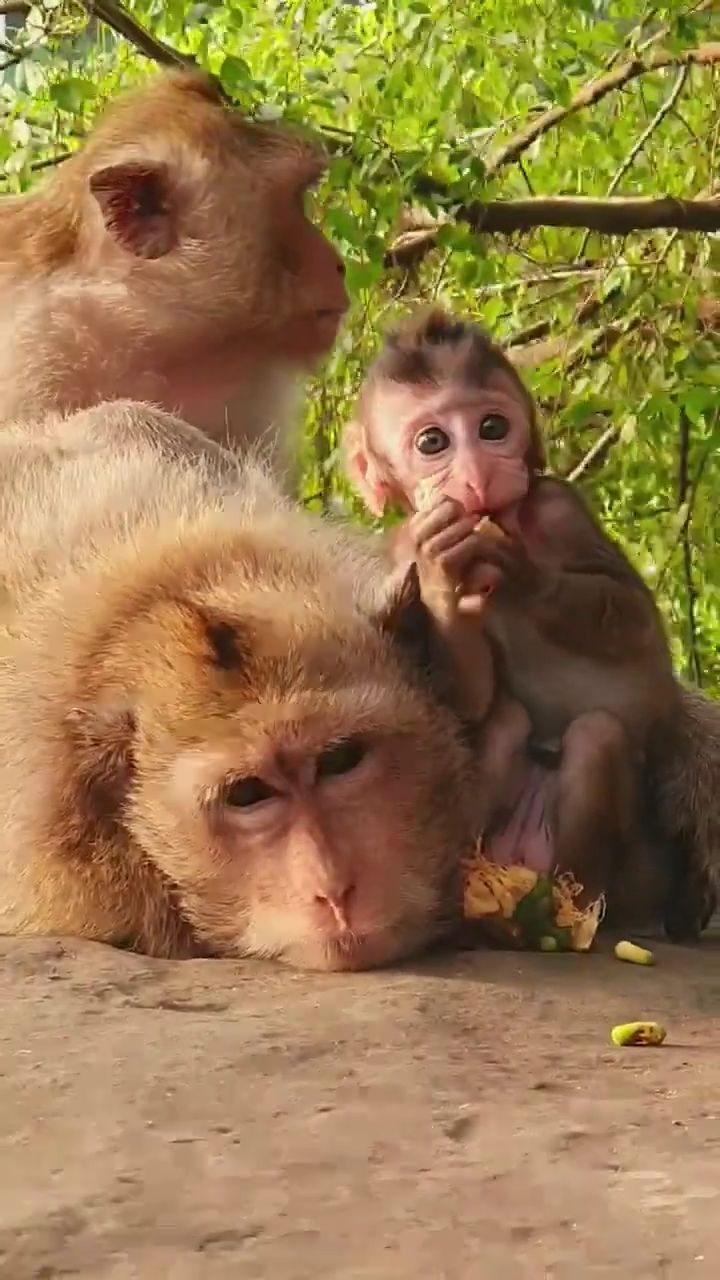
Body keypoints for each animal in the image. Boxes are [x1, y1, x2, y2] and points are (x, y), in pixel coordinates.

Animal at [342, 306, 717, 935]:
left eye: (493, 428)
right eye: (433, 442)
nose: (478, 474)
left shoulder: (559, 506)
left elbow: (630, 614)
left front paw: (520, 570)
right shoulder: (399, 549)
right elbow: (464, 699)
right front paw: (444, 583)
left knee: (598, 737)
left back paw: (572, 909)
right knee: (504, 720)